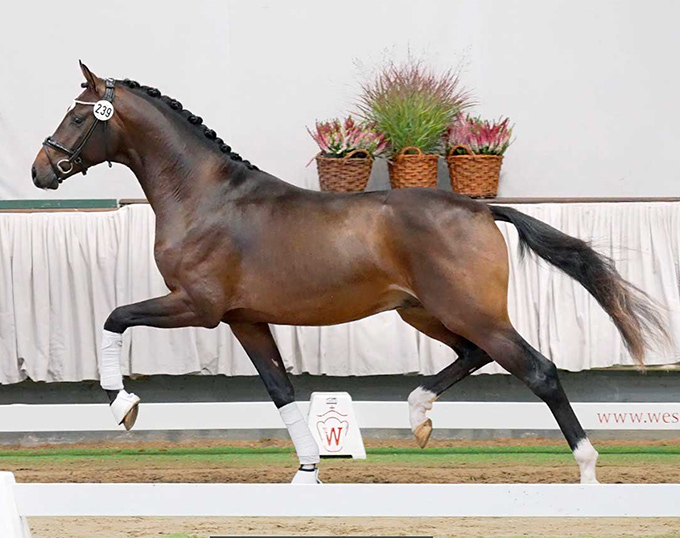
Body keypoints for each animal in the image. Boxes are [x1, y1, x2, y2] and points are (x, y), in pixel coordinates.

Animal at [31, 62, 667, 484]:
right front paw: (308, 473)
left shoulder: (197, 306)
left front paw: (123, 406)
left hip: (470, 311)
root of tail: (480, 208)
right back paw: (418, 418)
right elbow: (281, 391)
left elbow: (115, 318)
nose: (41, 170)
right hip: (427, 311)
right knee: (474, 355)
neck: (206, 197)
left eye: (77, 115)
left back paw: (587, 471)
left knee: (539, 370)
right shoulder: (243, 320)